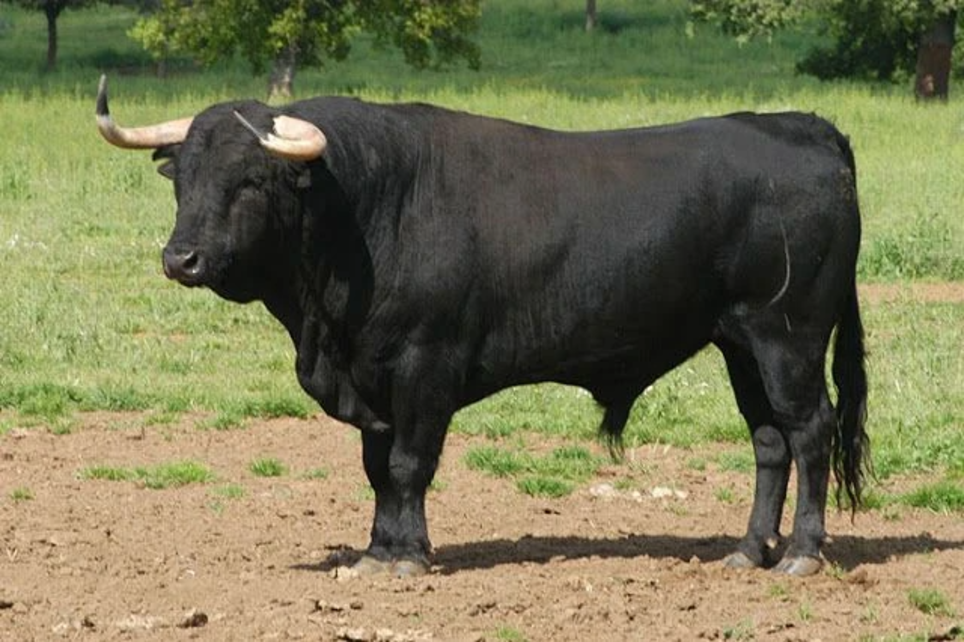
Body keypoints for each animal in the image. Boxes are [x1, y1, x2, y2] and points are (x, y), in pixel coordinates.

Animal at [95, 75, 869, 577]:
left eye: (251, 180)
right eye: (182, 178)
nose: (181, 258)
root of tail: (805, 125)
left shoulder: (424, 368)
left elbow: (409, 464)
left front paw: (407, 556)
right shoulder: (374, 381)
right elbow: (376, 468)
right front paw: (378, 549)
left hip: (789, 337)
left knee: (810, 431)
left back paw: (801, 554)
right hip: (739, 343)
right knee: (768, 441)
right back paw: (747, 551)